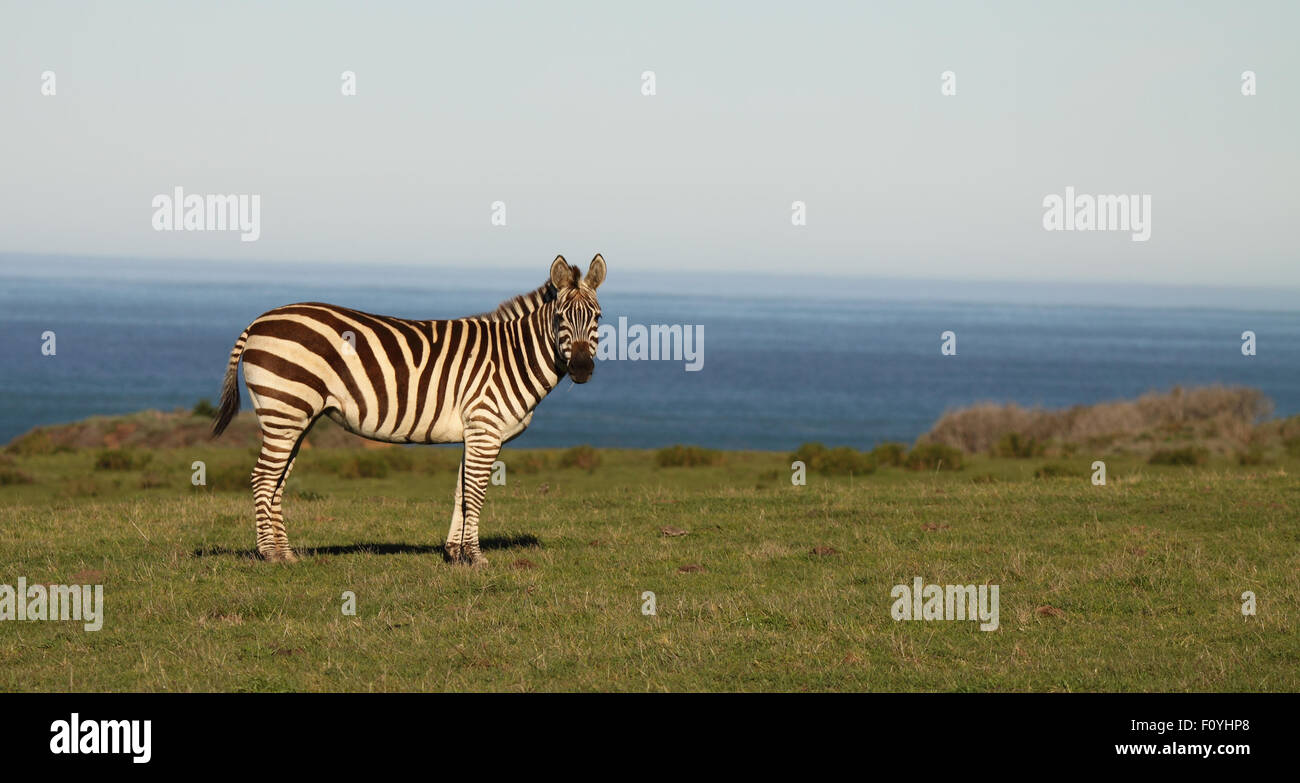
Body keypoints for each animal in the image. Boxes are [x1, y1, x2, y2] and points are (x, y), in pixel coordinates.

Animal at [210, 254, 606, 565]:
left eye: (598, 318)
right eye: (561, 318)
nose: (582, 369)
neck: (512, 357)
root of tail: (259, 320)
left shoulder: (473, 432)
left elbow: (461, 490)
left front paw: (454, 553)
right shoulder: (485, 428)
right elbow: (475, 491)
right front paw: (476, 556)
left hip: (295, 418)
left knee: (276, 481)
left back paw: (287, 553)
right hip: (284, 409)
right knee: (262, 477)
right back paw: (268, 554)